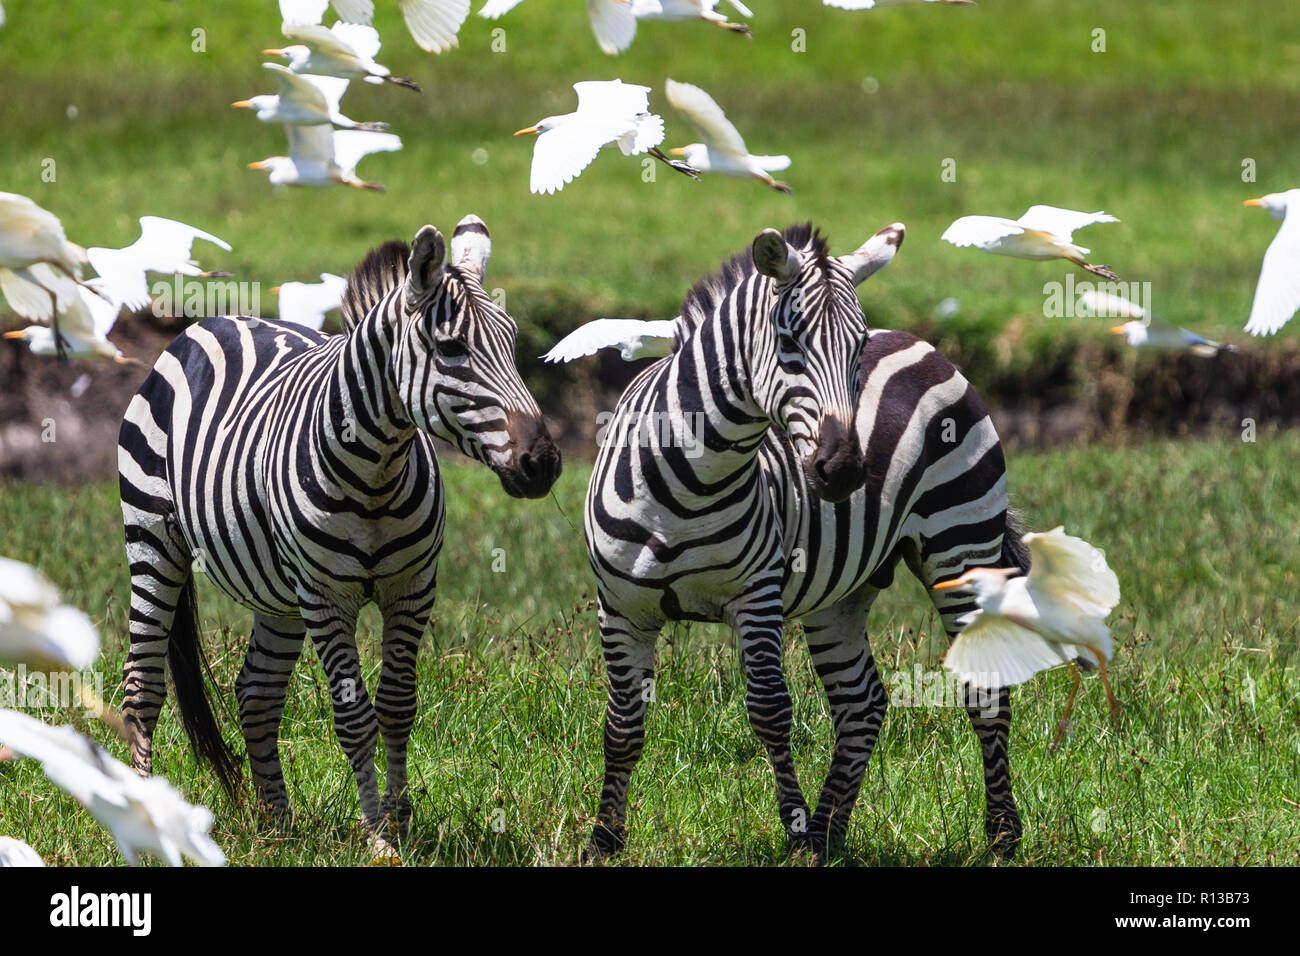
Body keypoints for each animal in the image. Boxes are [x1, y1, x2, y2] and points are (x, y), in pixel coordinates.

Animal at [117, 215, 561, 844]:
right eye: (451, 348)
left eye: (513, 343)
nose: (542, 463)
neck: (377, 472)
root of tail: (211, 322)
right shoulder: (327, 597)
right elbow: (353, 716)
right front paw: (378, 835)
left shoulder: (412, 588)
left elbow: (397, 706)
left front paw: (400, 821)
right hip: (154, 541)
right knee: (143, 685)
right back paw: (141, 813)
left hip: (279, 592)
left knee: (256, 694)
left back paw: (279, 827)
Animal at [583, 222, 1028, 862]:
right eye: (788, 341)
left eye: (857, 348)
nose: (843, 472)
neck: (688, 482)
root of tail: (919, 341)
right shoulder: (620, 608)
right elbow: (622, 725)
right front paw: (603, 841)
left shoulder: (757, 597)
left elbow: (770, 711)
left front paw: (791, 831)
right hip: (839, 594)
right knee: (860, 702)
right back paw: (828, 837)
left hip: (961, 546)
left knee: (986, 695)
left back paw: (1000, 838)